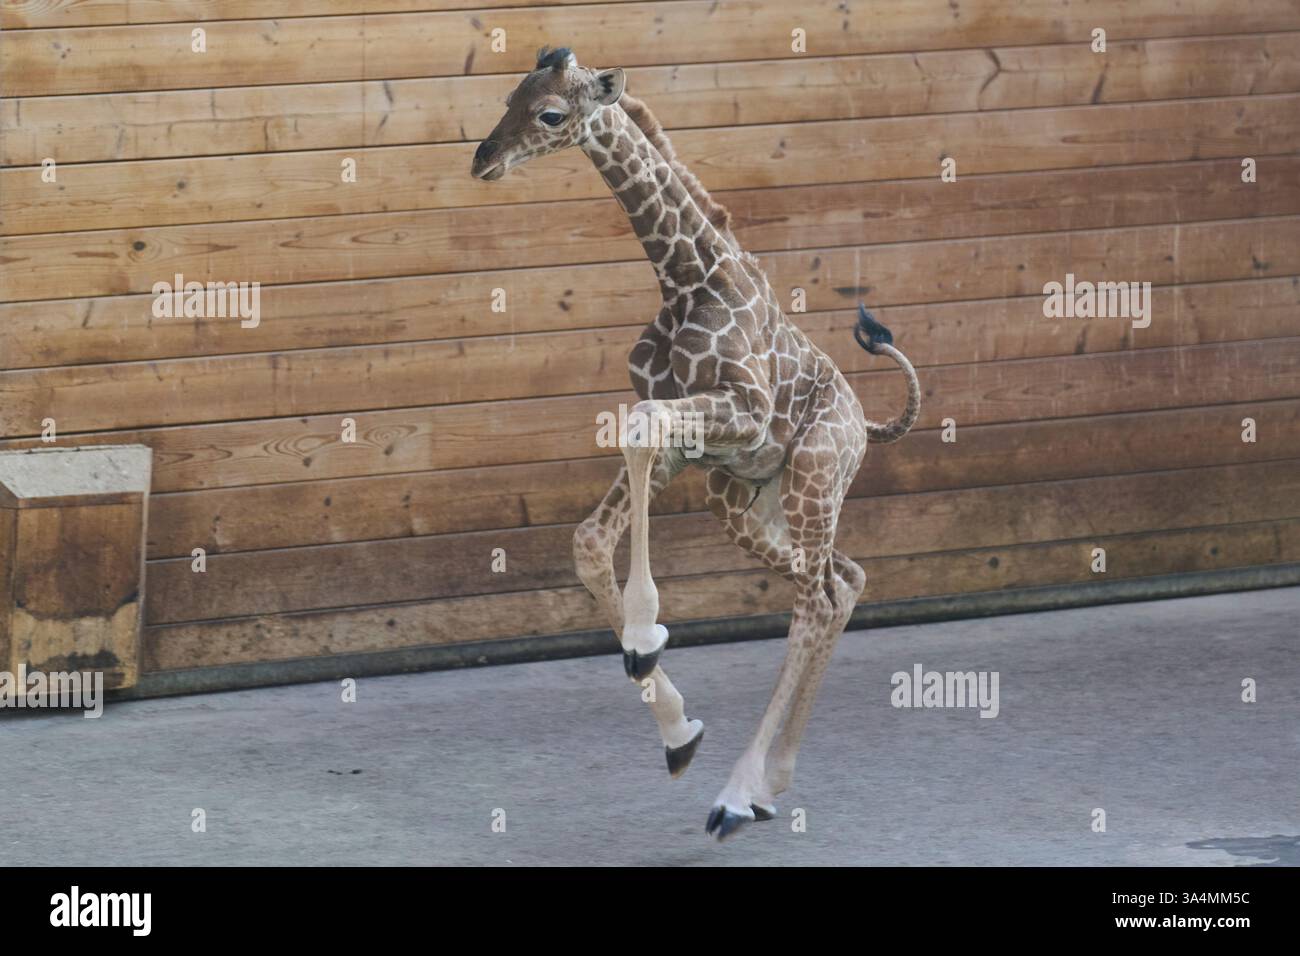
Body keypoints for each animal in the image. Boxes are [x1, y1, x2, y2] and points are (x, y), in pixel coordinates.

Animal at [471, 48, 920, 840]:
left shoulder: (739, 413)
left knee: (814, 603)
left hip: (812, 477)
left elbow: (640, 425)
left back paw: (738, 797)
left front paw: (646, 637)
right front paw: (675, 726)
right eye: (509, 98)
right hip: (743, 503)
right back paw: (772, 783)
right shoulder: (691, 449)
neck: (685, 277)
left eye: (551, 114)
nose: (483, 158)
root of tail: (865, 425)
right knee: (842, 581)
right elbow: (591, 535)